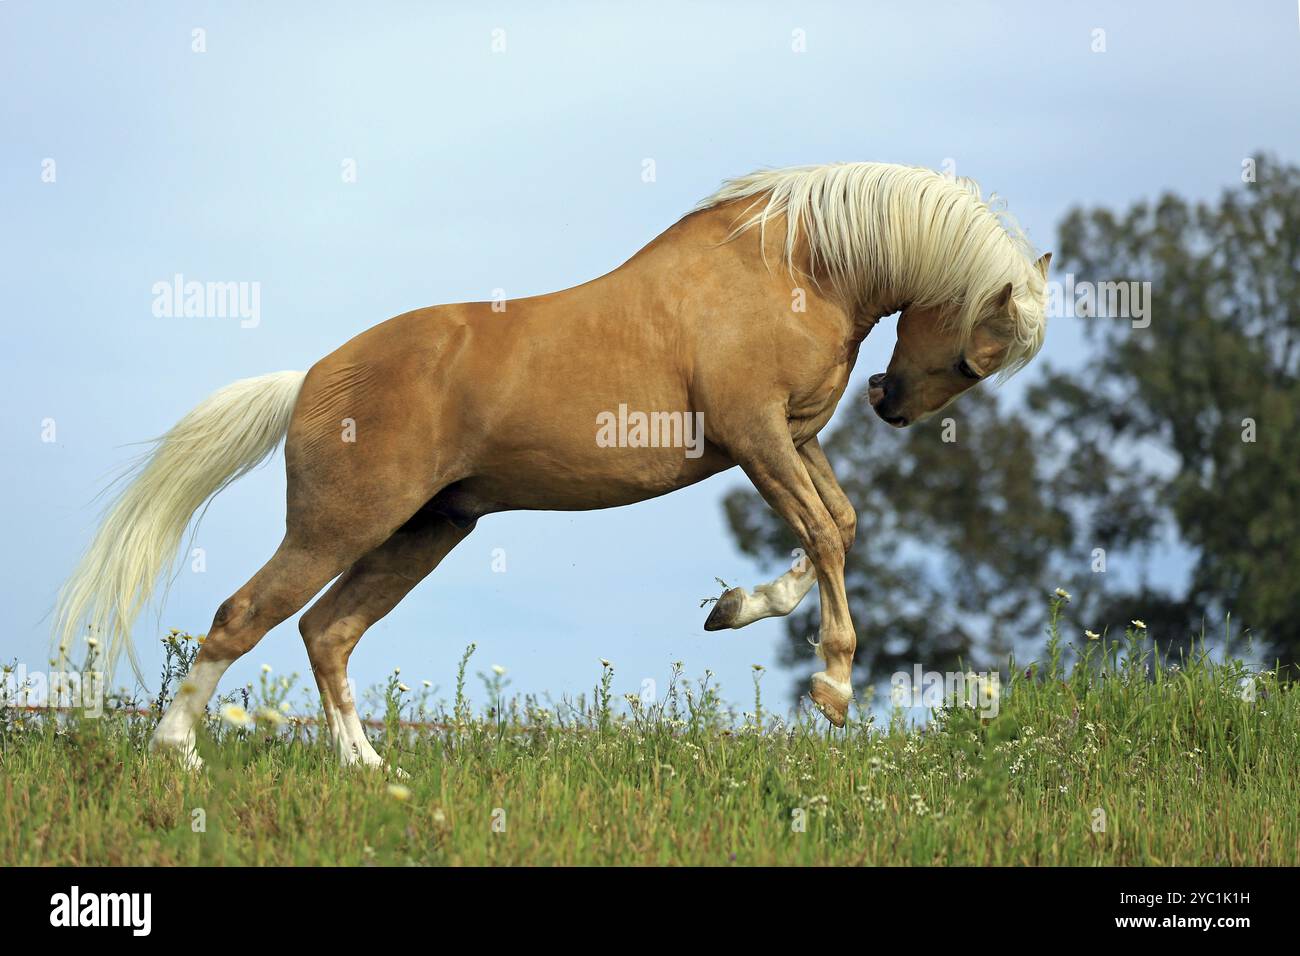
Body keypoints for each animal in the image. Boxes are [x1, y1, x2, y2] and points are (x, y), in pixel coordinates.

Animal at [55, 161, 1050, 770]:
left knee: (326, 633)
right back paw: (177, 752)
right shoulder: (757, 437)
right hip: (342, 526)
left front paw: (734, 608)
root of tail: (309, 380)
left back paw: (368, 767)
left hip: (428, 531)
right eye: (978, 358)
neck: (796, 263)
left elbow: (835, 527)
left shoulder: (794, 438)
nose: (890, 403)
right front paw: (835, 687)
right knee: (244, 617)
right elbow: (827, 534)